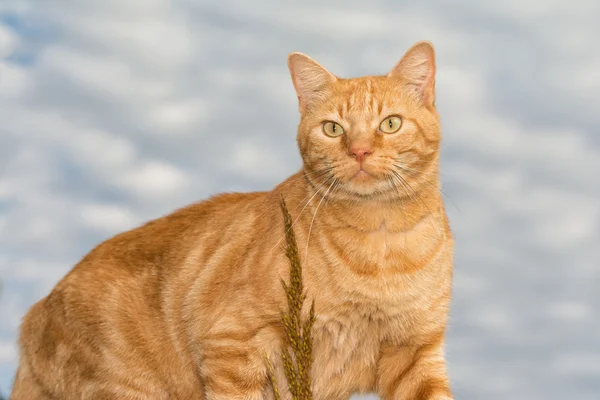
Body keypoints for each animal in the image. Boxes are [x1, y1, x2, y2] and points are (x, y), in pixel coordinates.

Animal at [10, 41, 454, 400]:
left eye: (390, 123)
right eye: (332, 129)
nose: (359, 151)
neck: (381, 241)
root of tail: (34, 314)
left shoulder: (415, 353)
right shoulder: (231, 346)